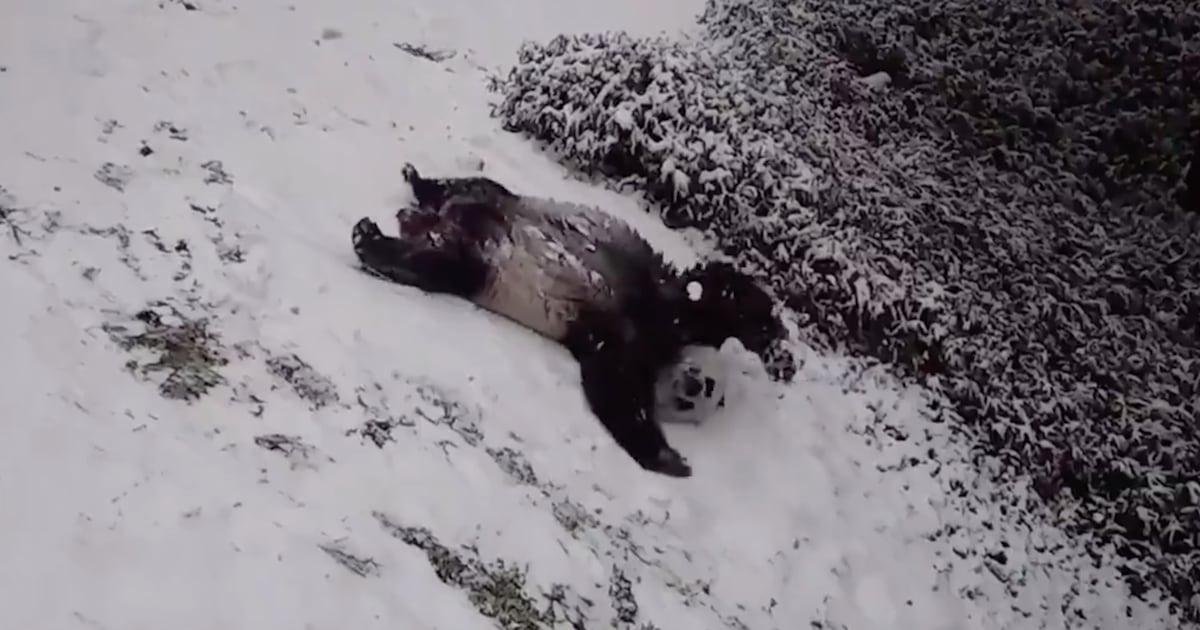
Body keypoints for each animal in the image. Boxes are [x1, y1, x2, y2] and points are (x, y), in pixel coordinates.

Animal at [351, 163, 793, 478]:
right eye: (709, 388)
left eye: (696, 401)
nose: (693, 384)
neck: (663, 353)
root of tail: (438, 220)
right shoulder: (672, 314)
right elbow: (718, 301)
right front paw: (767, 332)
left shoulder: (606, 343)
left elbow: (614, 391)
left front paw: (667, 457)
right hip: (503, 202)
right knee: (468, 186)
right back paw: (409, 188)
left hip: (476, 268)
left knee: (437, 264)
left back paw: (374, 236)